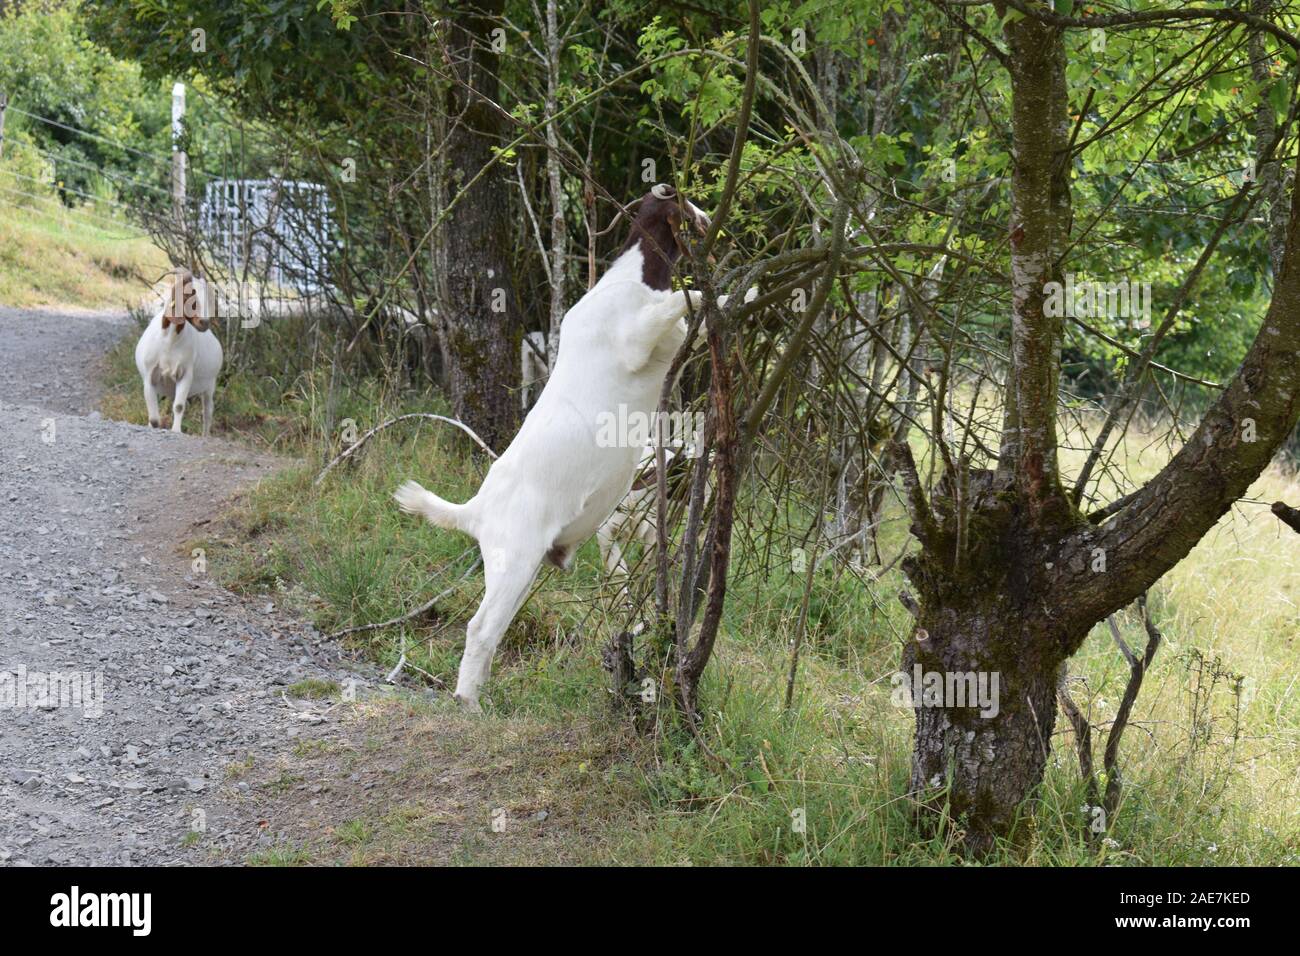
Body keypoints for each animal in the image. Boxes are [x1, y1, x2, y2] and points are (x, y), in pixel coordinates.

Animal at [135, 267, 222, 436]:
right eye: (189, 292)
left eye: (207, 295)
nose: (204, 322)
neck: (169, 341)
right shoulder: (149, 377)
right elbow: (153, 416)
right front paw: (154, 426)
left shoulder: (185, 373)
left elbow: (179, 406)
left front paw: (176, 430)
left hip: (210, 385)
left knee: (207, 411)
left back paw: (205, 435)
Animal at [395, 183, 752, 711]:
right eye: (684, 202)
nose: (710, 220)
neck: (630, 282)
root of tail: (475, 510)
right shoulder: (637, 339)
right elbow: (680, 300)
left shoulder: (671, 345)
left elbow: (700, 313)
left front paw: (745, 293)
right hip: (515, 561)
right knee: (479, 629)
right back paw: (470, 705)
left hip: (520, 570)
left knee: (494, 630)